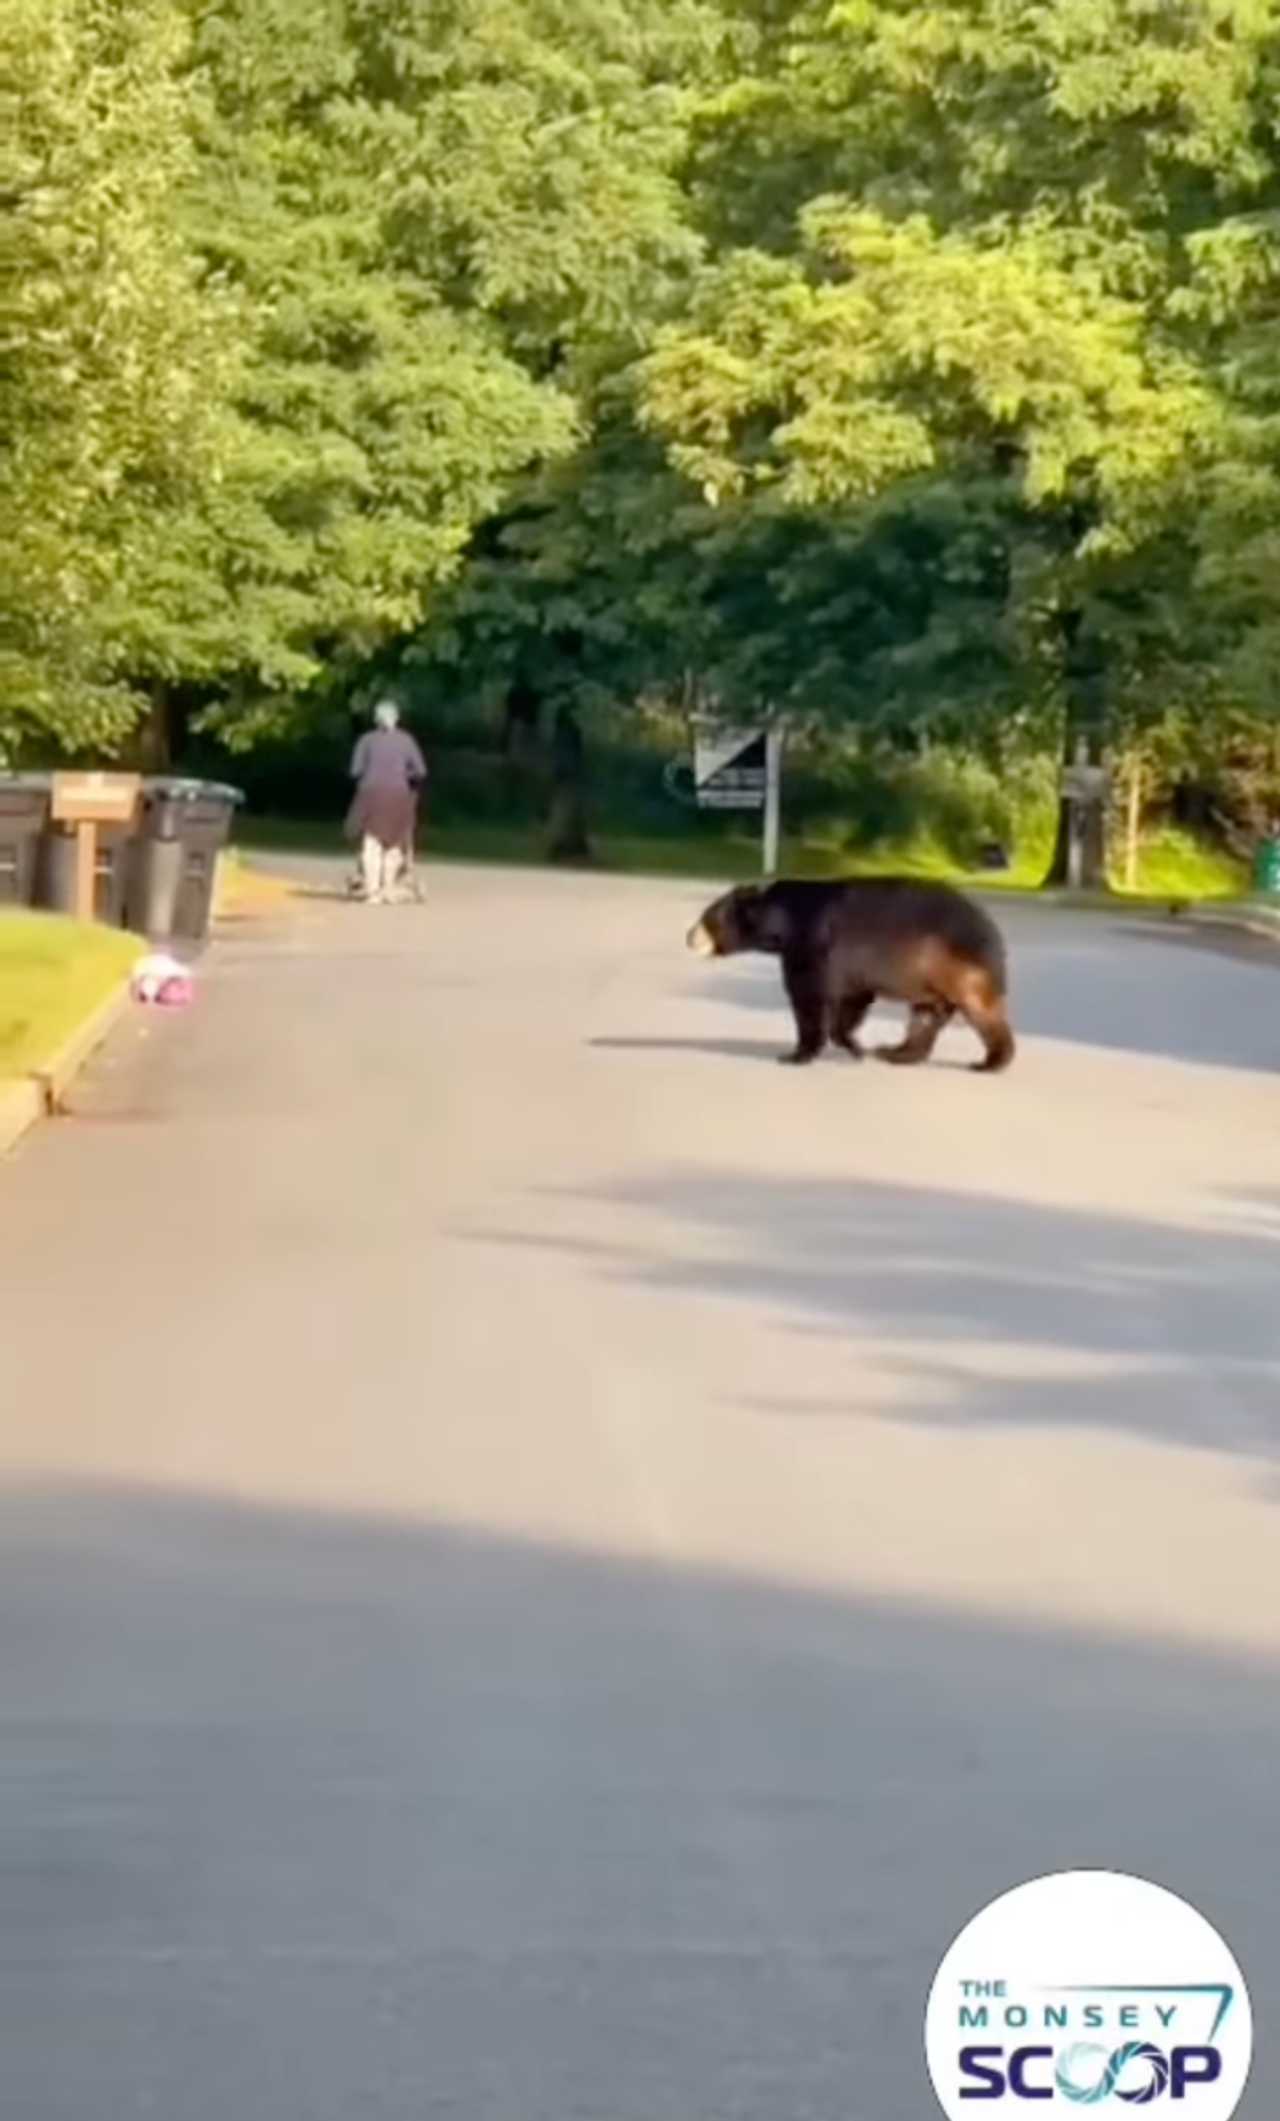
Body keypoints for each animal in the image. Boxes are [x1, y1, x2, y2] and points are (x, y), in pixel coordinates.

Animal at [686, 877, 1015, 1072]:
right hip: (932, 976)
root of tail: (996, 936)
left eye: (707, 917)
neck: (785, 922)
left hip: (961, 968)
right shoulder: (851, 966)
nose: (688, 936)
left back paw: (991, 1061)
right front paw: (856, 1047)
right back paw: (895, 1052)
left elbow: (808, 997)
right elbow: (852, 1000)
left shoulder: (814, 943)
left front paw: (796, 1054)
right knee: (925, 1017)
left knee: (981, 1011)